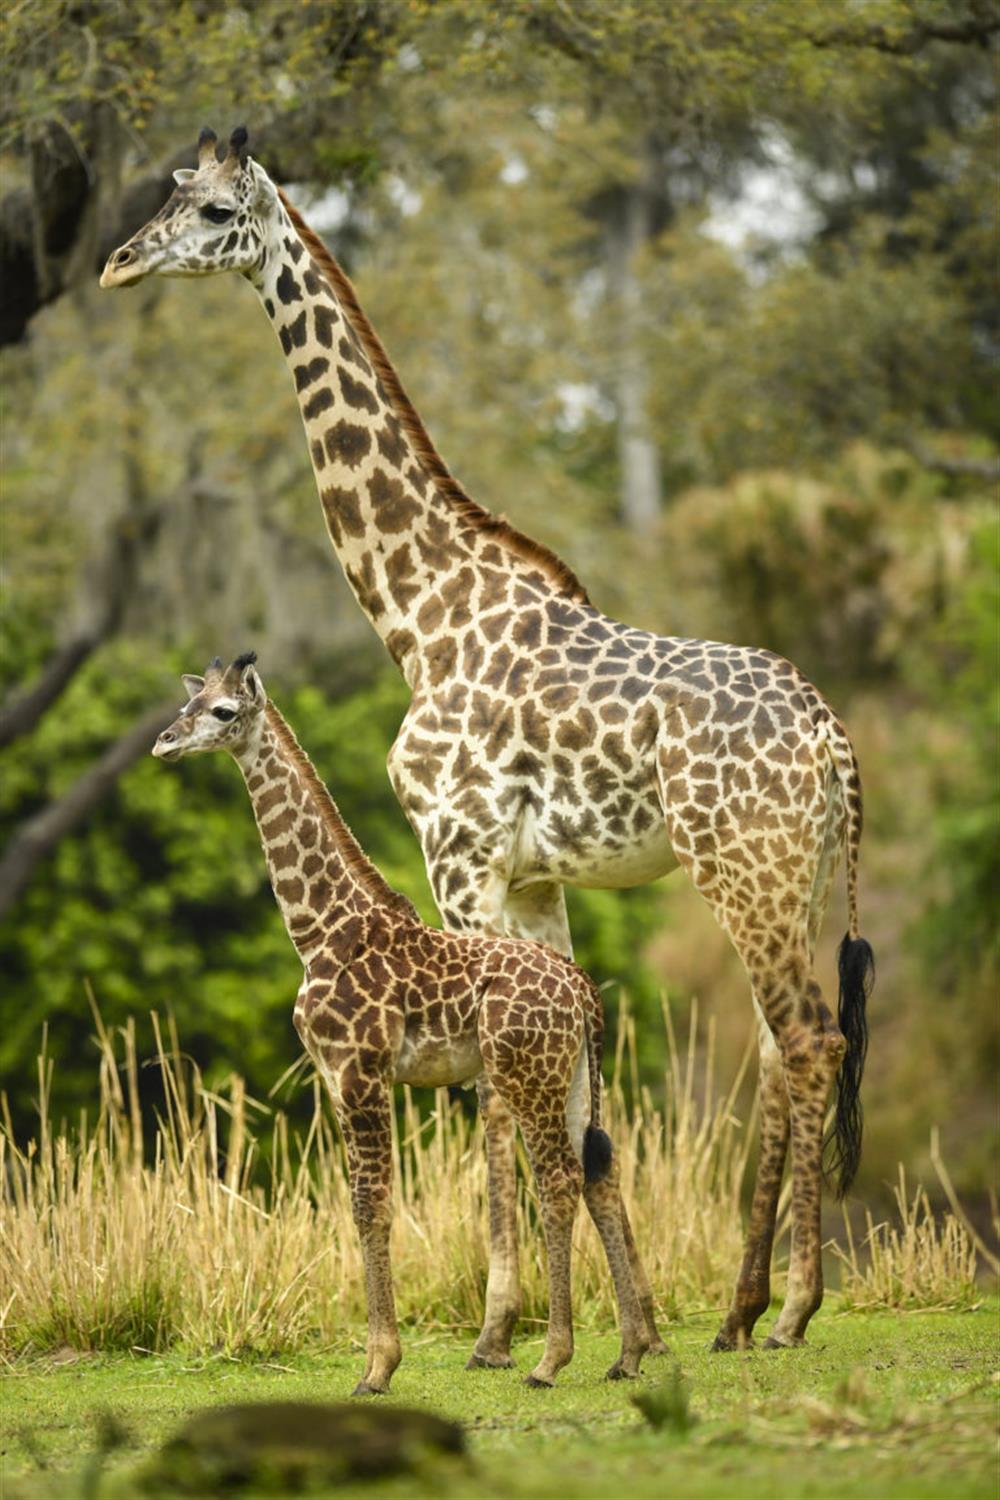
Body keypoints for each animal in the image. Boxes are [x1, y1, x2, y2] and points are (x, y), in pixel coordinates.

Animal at [152, 652, 650, 1394]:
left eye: (221, 711)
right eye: (188, 703)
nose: (164, 742)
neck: (318, 930)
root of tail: (582, 991)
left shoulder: (361, 1070)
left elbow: (371, 1204)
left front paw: (379, 1367)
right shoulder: (334, 1078)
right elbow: (360, 1204)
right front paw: (376, 1362)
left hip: (524, 1072)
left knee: (558, 1180)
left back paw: (549, 1359)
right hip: (574, 1075)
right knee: (599, 1173)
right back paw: (629, 1353)